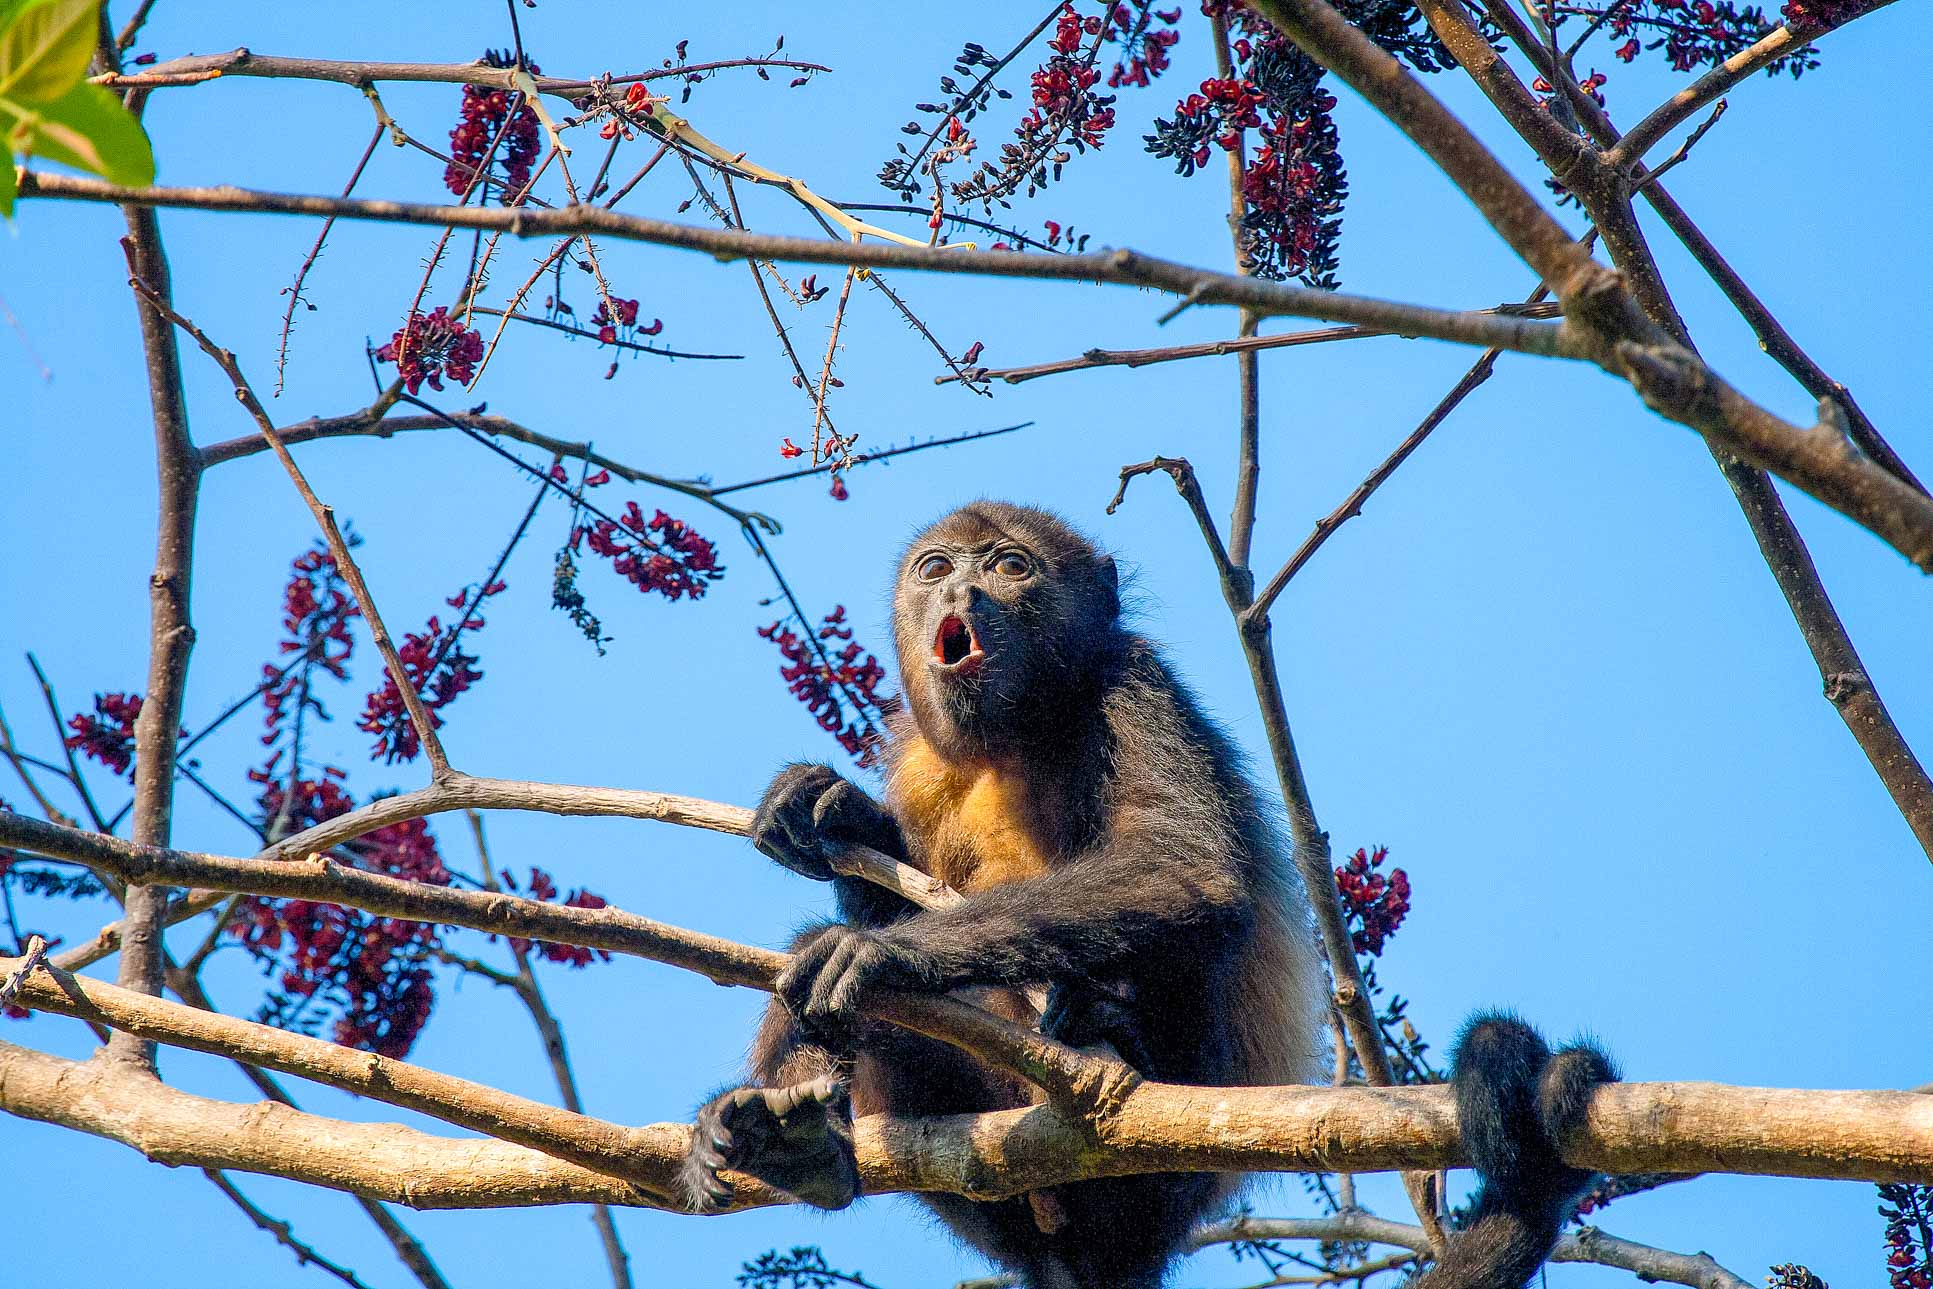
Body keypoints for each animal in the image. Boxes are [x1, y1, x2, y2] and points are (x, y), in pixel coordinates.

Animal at [680, 501, 1617, 1289]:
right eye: (935, 567)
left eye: (1010, 565)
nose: (961, 590)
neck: (1006, 735)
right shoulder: (913, 750)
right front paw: (828, 807)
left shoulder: (1133, 680)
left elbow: (1185, 870)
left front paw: (883, 951)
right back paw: (798, 1142)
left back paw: (1096, 1021)